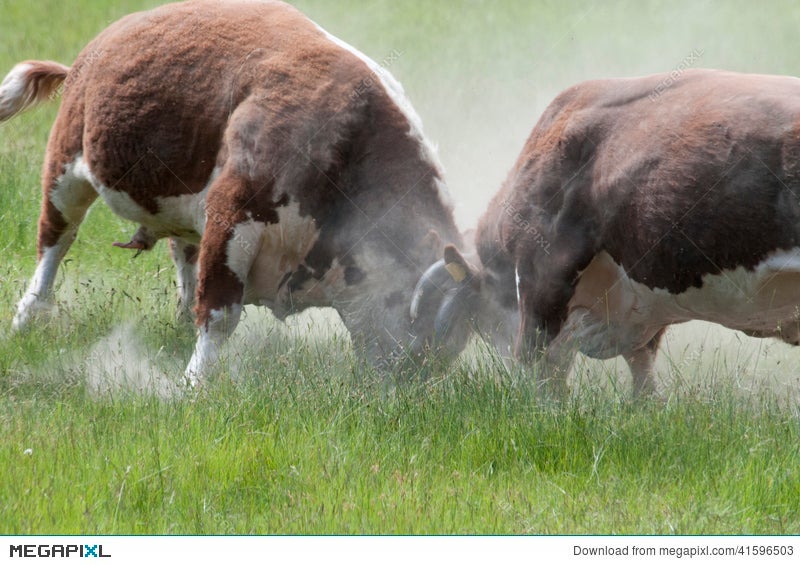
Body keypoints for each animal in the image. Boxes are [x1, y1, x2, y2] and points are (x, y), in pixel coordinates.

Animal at [1, 0, 463, 385]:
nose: (415, 385)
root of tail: (99, 45)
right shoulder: (234, 215)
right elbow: (221, 312)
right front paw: (194, 385)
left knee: (183, 256)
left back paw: (179, 323)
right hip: (66, 169)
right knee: (55, 240)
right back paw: (27, 317)